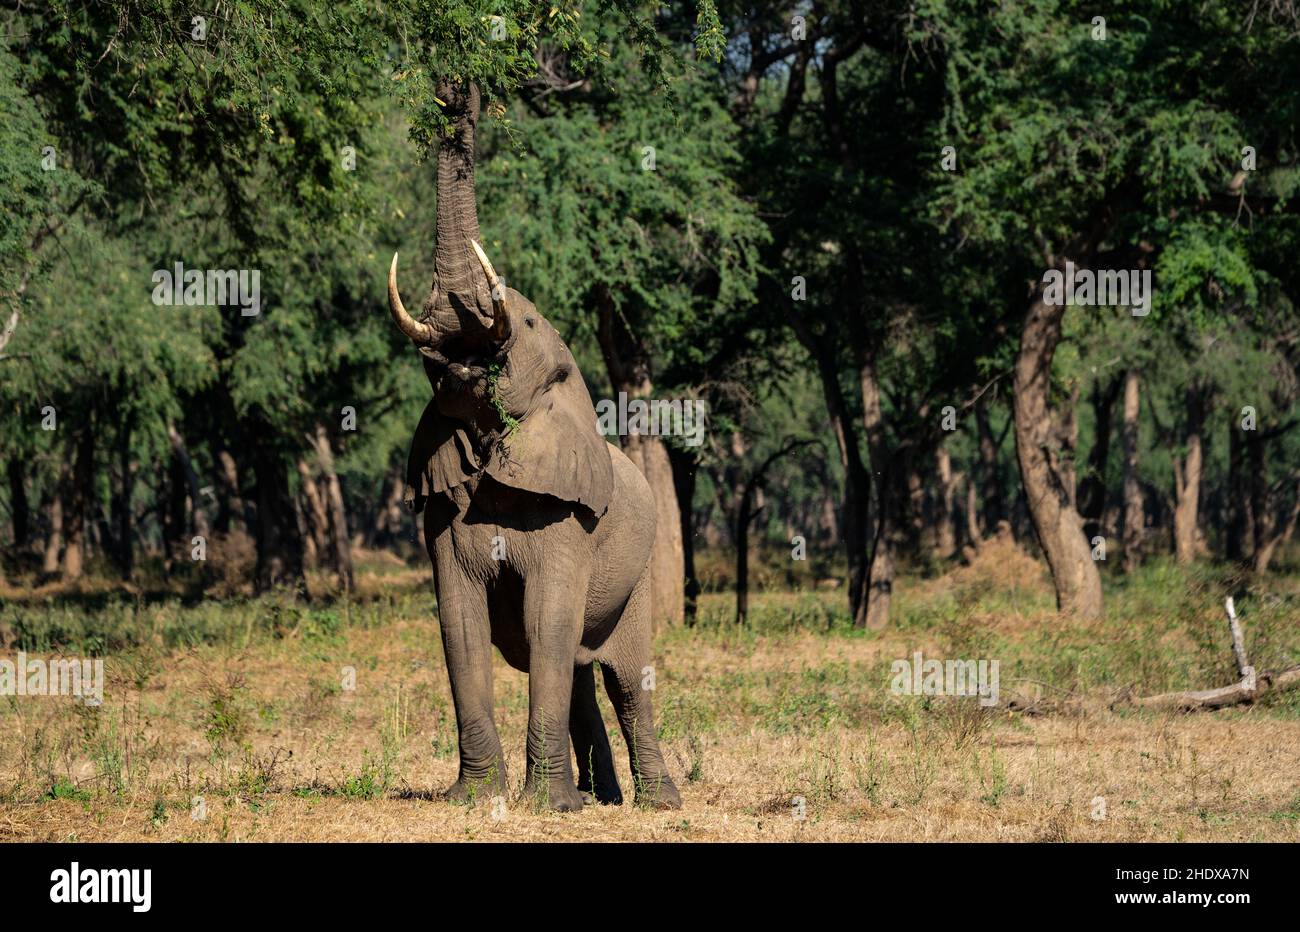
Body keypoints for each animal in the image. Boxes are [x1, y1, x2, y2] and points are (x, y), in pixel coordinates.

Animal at [385, 81, 680, 812]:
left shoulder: (566, 517)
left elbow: (548, 616)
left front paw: (543, 807)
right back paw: (601, 798)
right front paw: (475, 798)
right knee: (579, 674)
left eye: (520, 321)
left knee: (626, 680)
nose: (455, 91)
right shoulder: (442, 511)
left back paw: (657, 803)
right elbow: (459, 624)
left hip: (639, 576)